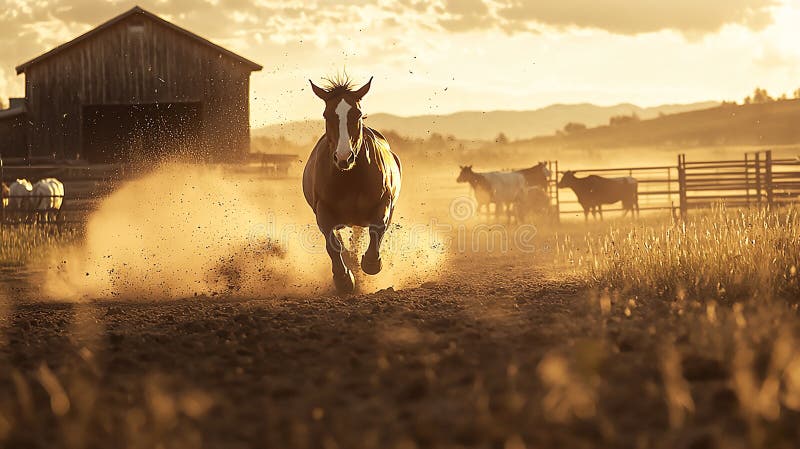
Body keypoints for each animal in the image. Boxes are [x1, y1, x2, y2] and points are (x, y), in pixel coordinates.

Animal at [302, 76, 402, 293]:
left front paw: (371, 263)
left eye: (357, 114)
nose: (343, 157)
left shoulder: (383, 203)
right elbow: (332, 243)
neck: (349, 178)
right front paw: (344, 279)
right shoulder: (323, 210)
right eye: (327, 115)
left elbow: (377, 228)